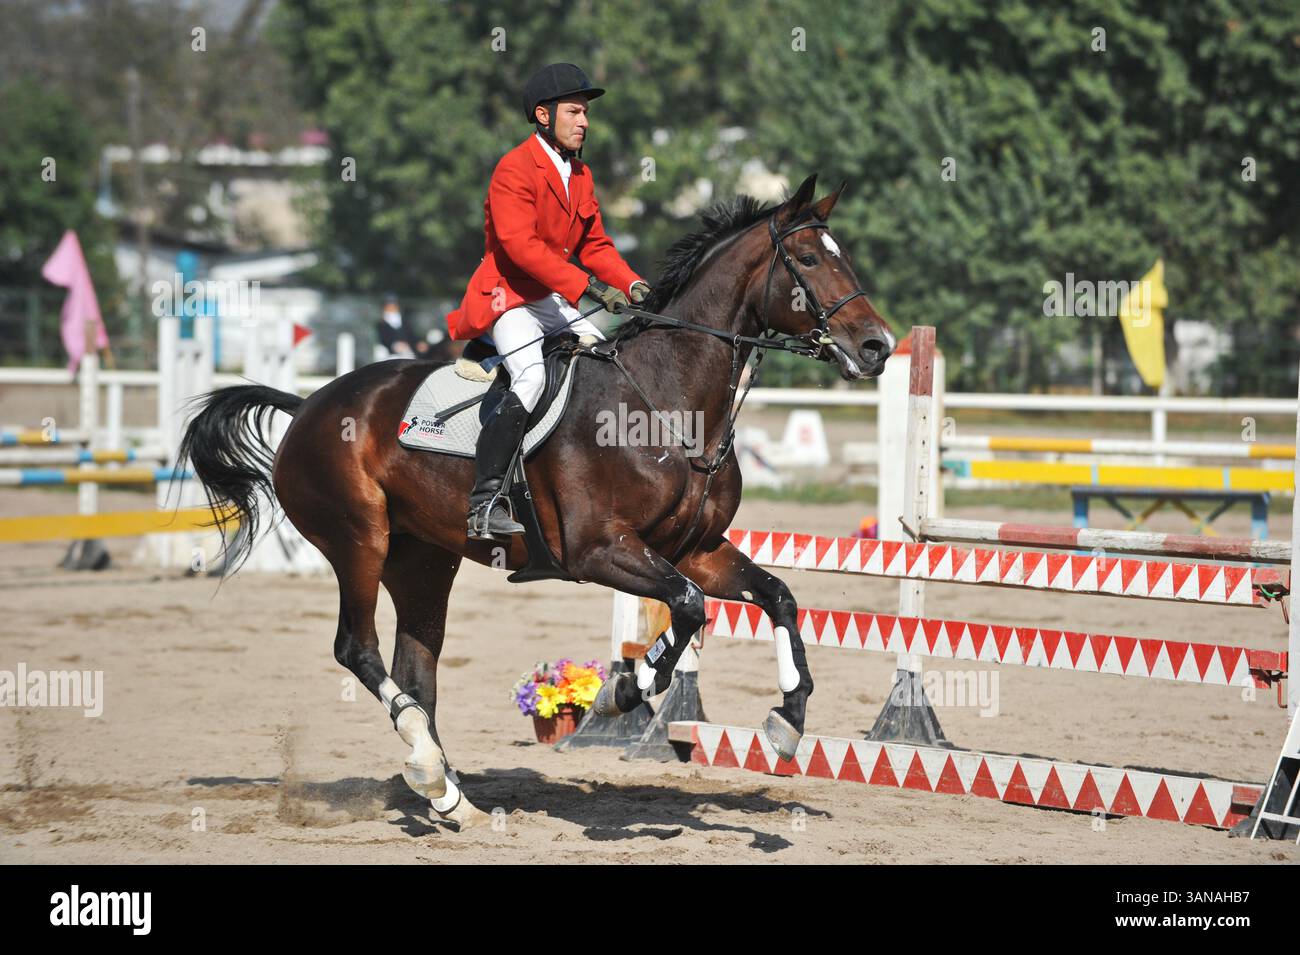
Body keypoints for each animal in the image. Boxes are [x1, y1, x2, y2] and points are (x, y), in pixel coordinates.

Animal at [178, 173, 895, 828]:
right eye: (808, 260)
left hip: (422, 558)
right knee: (357, 649)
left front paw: (786, 720)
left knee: (417, 667)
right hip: (360, 541)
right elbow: (688, 608)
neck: (668, 402)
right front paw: (620, 692)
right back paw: (429, 770)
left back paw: (447, 795)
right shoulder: (598, 551)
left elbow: (775, 597)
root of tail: (308, 406)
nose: (878, 347)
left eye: (843, 256)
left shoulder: (694, 550)